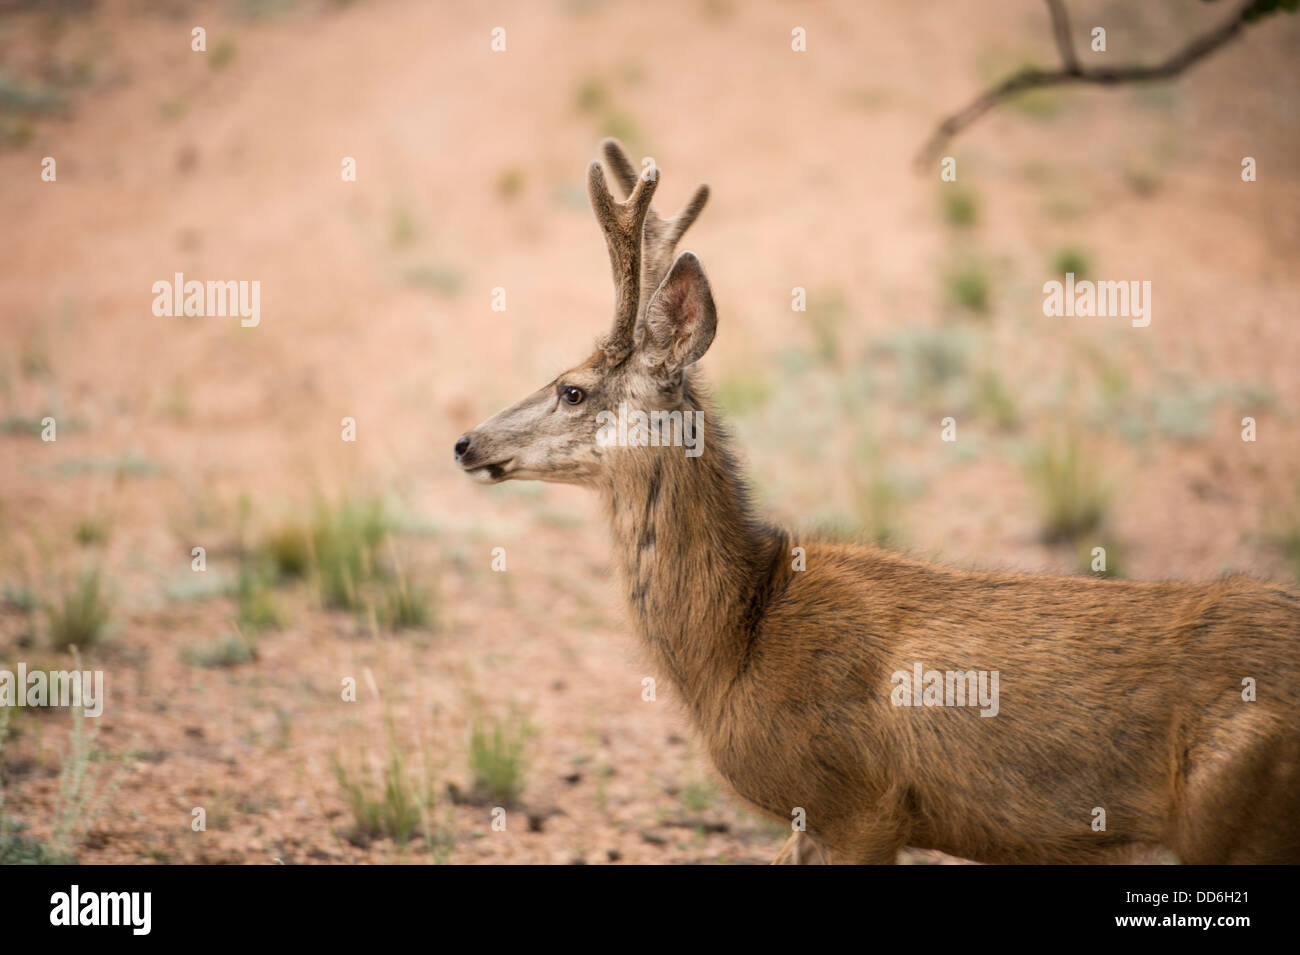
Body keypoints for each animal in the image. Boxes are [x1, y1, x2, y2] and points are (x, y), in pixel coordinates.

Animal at [454, 140, 1300, 864]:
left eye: (572, 389)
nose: (465, 442)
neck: (737, 638)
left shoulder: (861, 801)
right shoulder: (816, 818)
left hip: (1239, 814)